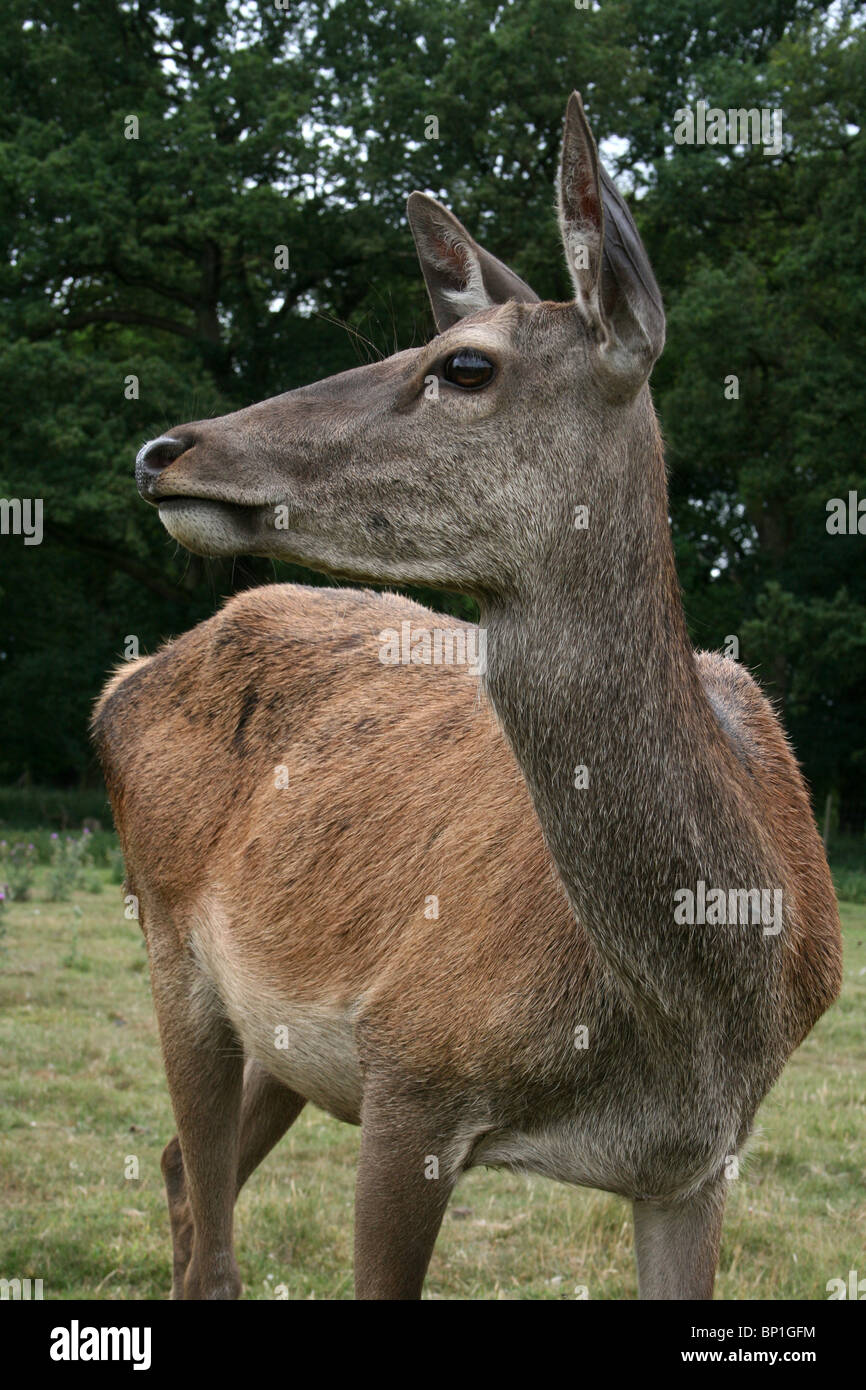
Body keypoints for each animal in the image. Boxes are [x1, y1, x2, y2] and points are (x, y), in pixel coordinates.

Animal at [92, 93, 842, 1301]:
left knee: (175, 1173)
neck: (692, 1002)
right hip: (167, 936)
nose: (163, 447)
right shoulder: (413, 1070)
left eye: (465, 366)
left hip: (278, 1030)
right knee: (208, 1235)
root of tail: (123, 678)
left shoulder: (697, 1160)